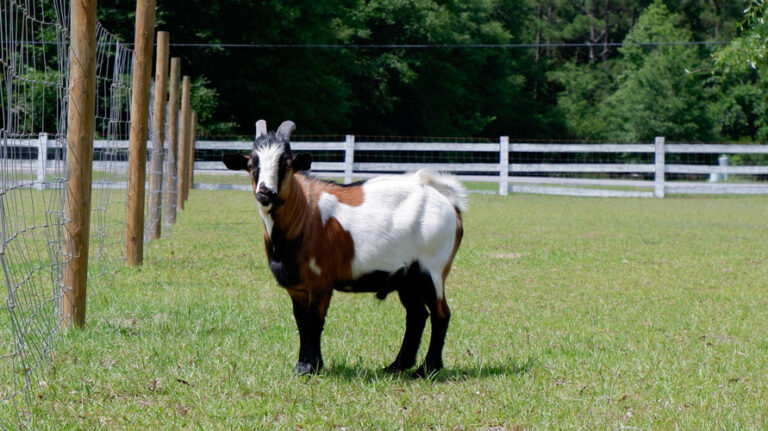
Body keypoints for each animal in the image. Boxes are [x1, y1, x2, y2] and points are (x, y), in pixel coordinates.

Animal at [223, 120, 466, 377]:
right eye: (251, 164)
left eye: (286, 164)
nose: (265, 192)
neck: (304, 213)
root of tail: (450, 204)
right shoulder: (297, 287)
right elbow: (301, 321)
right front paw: (305, 365)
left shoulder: (320, 281)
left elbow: (314, 321)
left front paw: (309, 367)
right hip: (408, 278)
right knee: (417, 315)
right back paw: (397, 366)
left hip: (432, 270)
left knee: (441, 313)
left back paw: (428, 369)